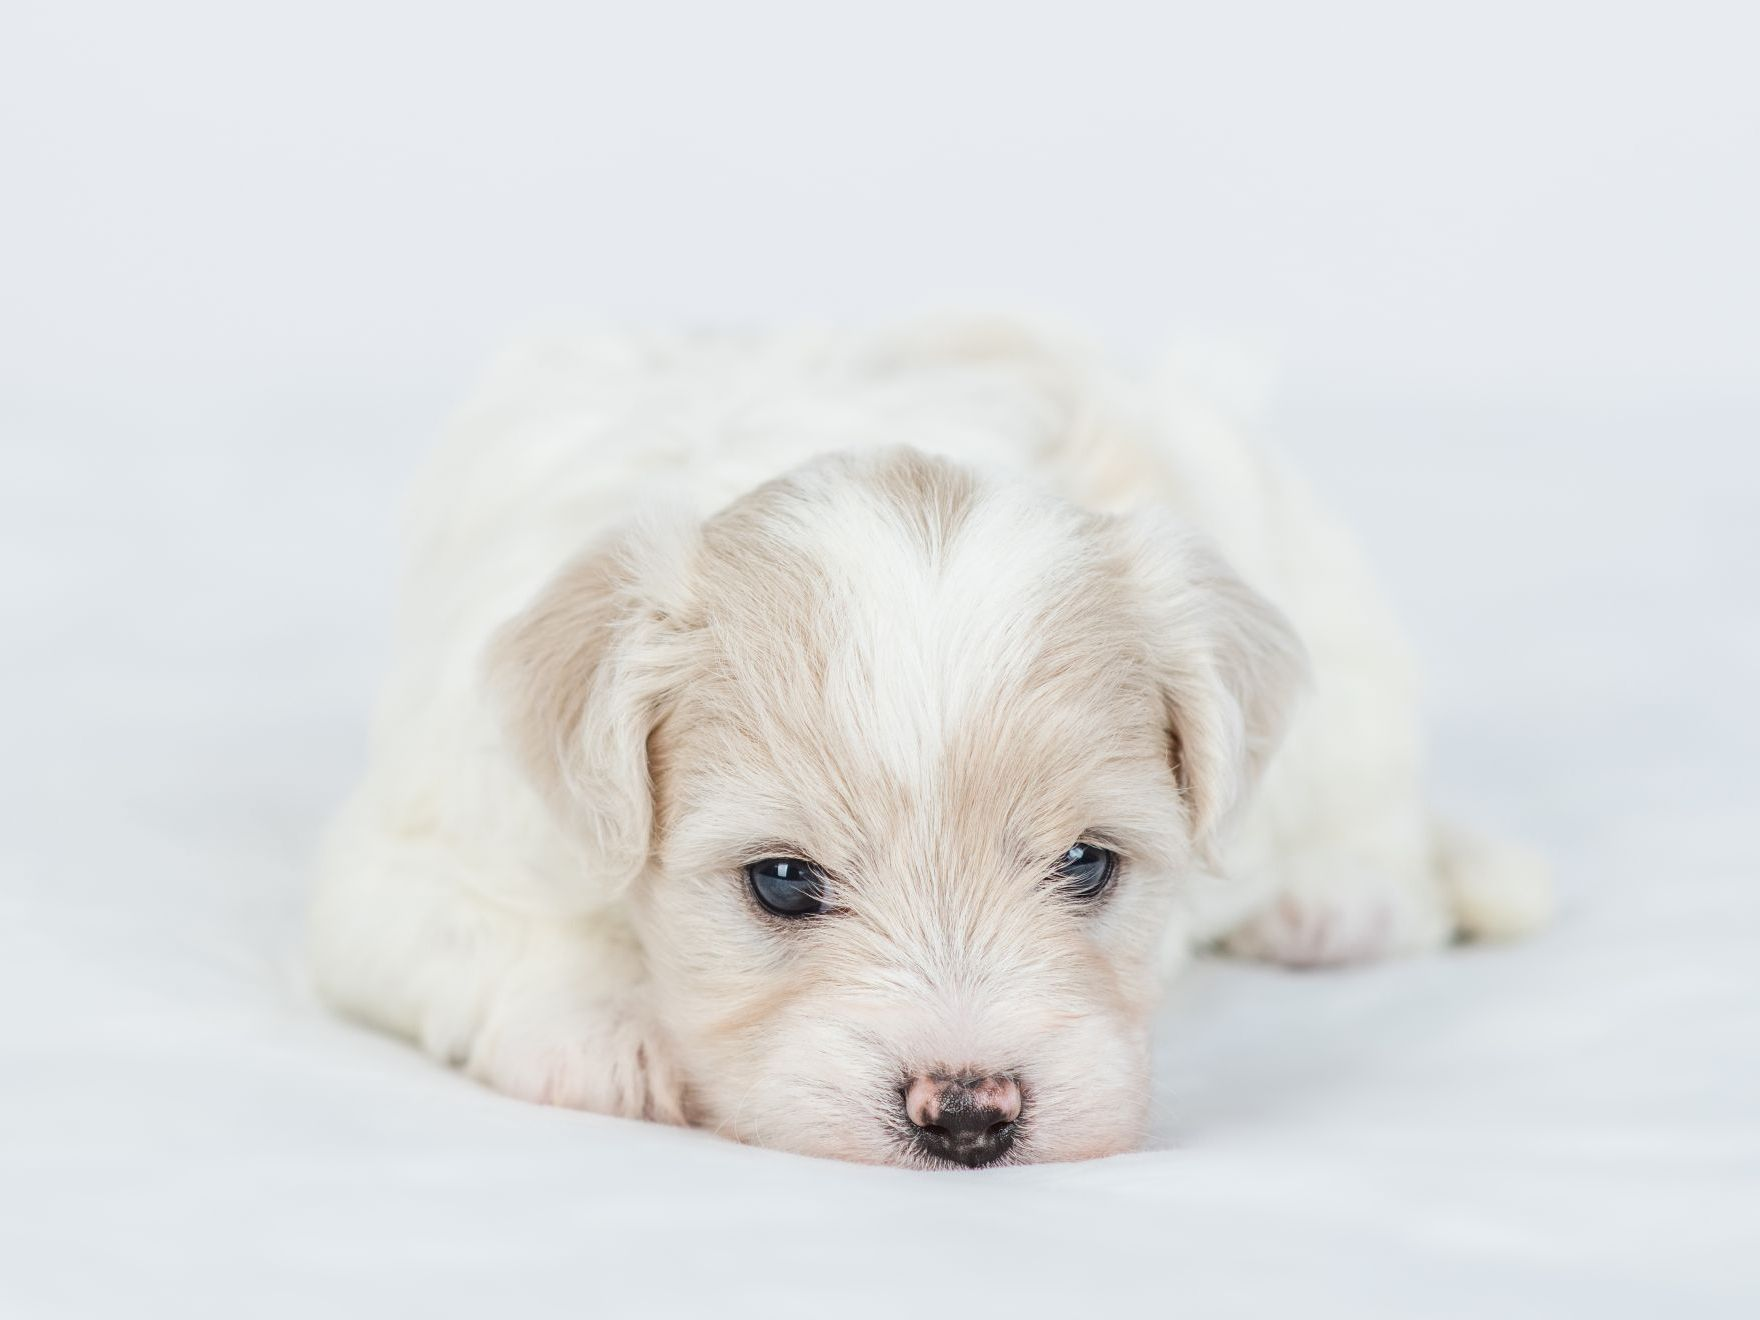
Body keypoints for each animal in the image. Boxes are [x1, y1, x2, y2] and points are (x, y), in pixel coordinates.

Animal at [309, 325, 1548, 1175]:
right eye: (781, 882)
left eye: (1087, 864)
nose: (967, 1115)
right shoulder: (409, 858)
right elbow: (491, 931)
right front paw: (600, 1033)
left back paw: (1338, 899)